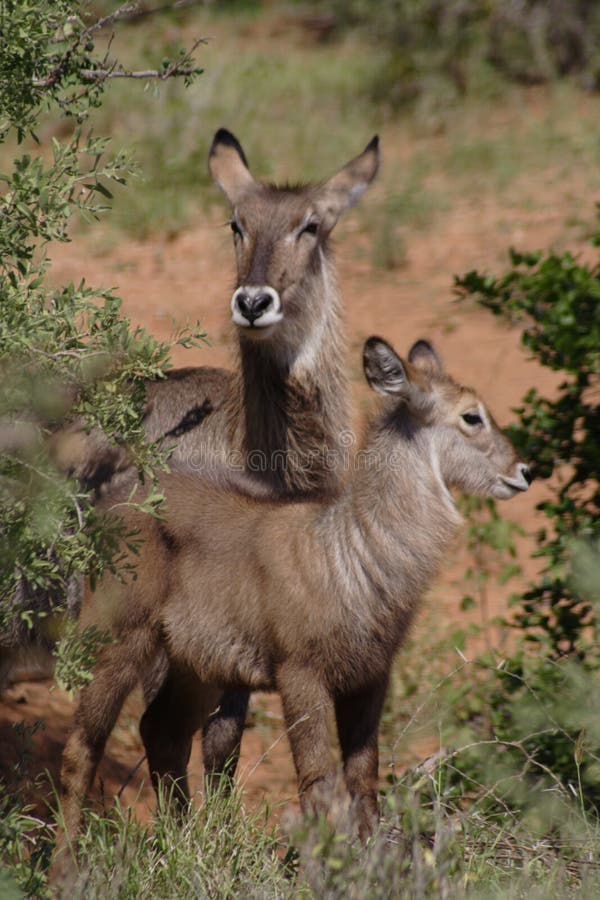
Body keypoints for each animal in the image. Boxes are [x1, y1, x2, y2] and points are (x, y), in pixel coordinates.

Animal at [52, 336, 531, 863]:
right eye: (471, 416)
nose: (523, 471)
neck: (352, 554)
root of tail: (107, 506)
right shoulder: (301, 673)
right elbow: (317, 783)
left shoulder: (371, 677)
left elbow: (364, 780)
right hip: (118, 639)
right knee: (82, 745)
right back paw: (64, 867)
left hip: (197, 665)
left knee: (162, 731)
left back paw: (178, 844)